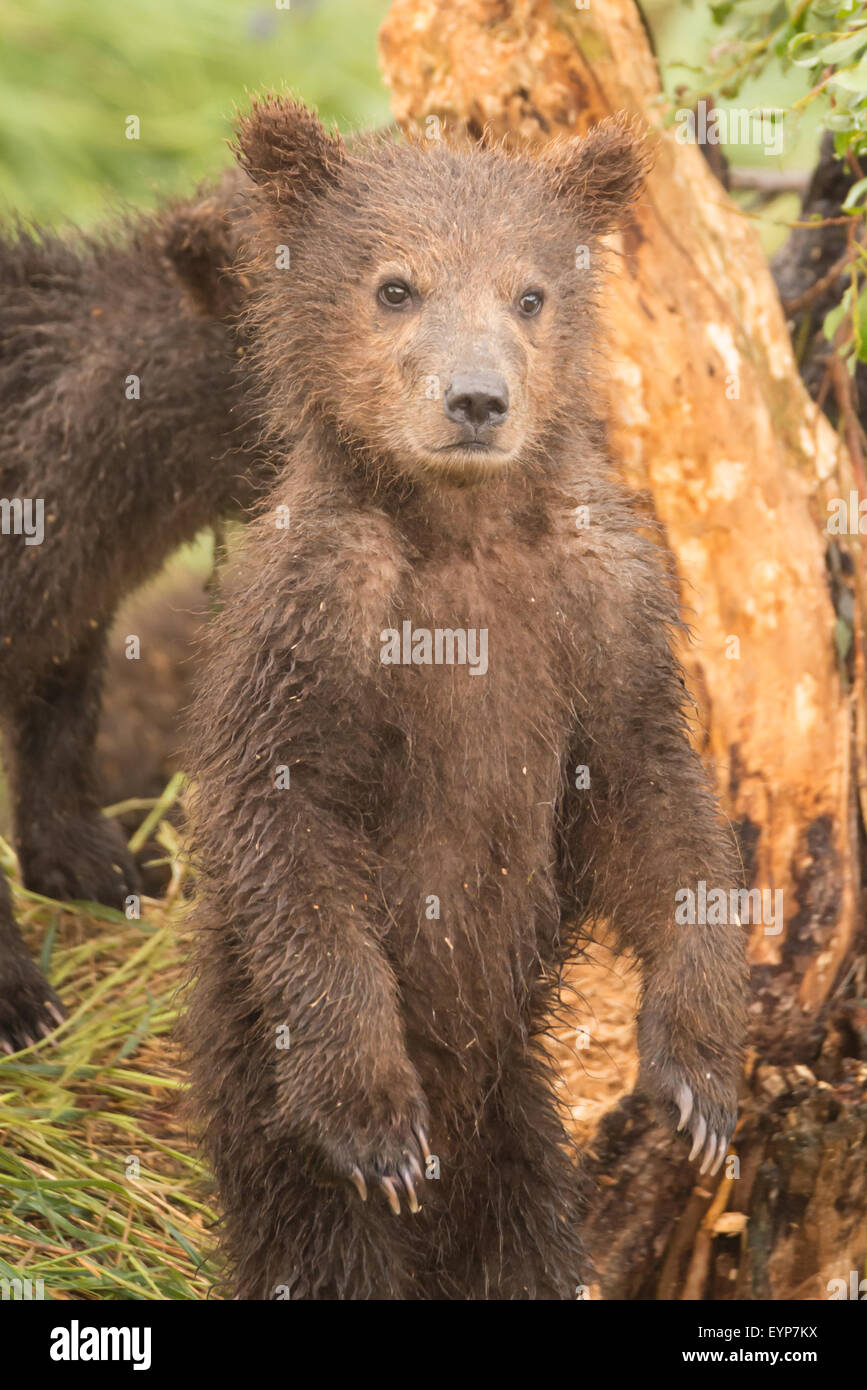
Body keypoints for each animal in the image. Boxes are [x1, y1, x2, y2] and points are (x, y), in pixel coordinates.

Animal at [183, 95, 749, 1300]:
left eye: (529, 293)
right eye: (396, 285)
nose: (477, 399)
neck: (464, 534)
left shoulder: (602, 613)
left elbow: (654, 804)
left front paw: (698, 1076)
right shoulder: (317, 622)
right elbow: (287, 829)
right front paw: (378, 1122)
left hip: (516, 1125)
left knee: (524, 1238)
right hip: (256, 1091)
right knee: (318, 1249)